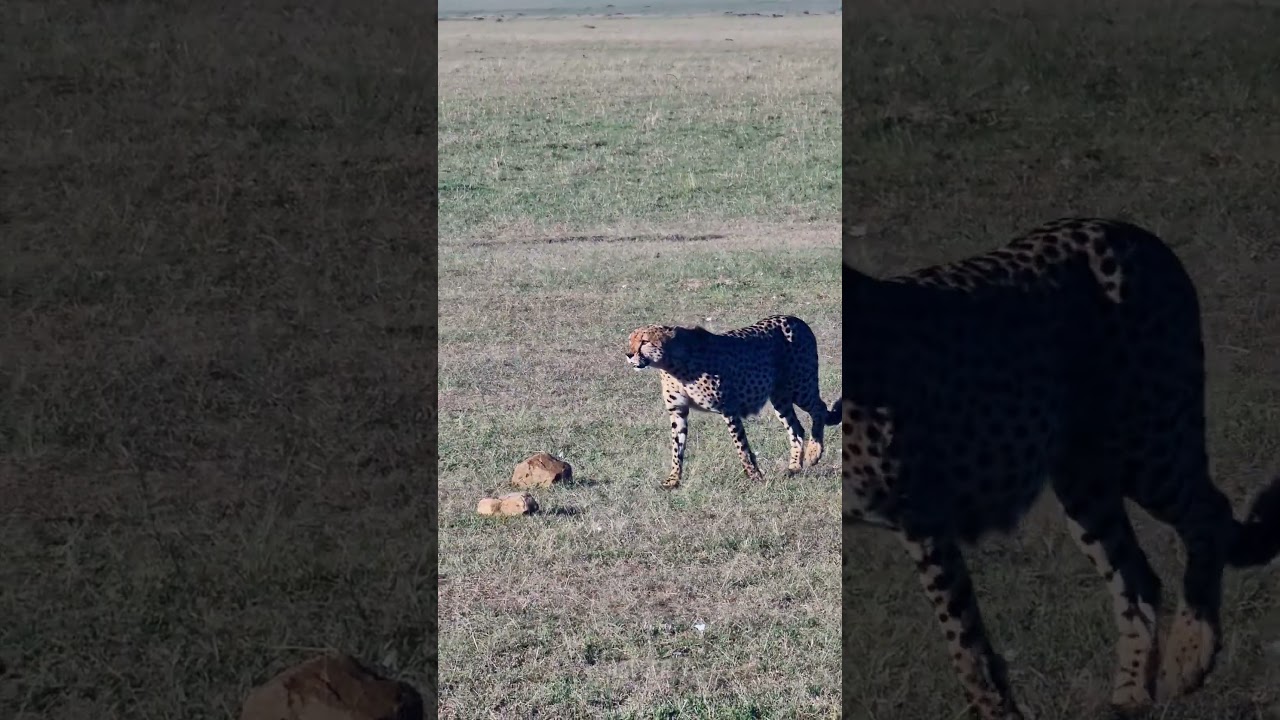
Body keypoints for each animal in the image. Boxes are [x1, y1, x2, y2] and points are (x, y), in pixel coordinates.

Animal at [625, 314, 841, 489]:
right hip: (780, 397)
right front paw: (672, 480)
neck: (671, 363)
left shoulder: (728, 409)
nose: (628, 355)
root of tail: (793, 319)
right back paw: (794, 466)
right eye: (630, 341)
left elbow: (742, 447)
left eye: (644, 341)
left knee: (819, 409)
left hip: (800, 386)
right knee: (797, 428)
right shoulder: (678, 412)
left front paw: (754, 476)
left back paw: (814, 452)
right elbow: (677, 449)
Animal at [842, 217, 1280, 720]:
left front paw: (996, 711)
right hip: (1083, 479)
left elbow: (967, 646)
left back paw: (1189, 655)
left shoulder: (922, 517)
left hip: (1150, 448)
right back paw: (1131, 692)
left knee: (1210, 514)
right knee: (1138, 579)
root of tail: (1127, 230)